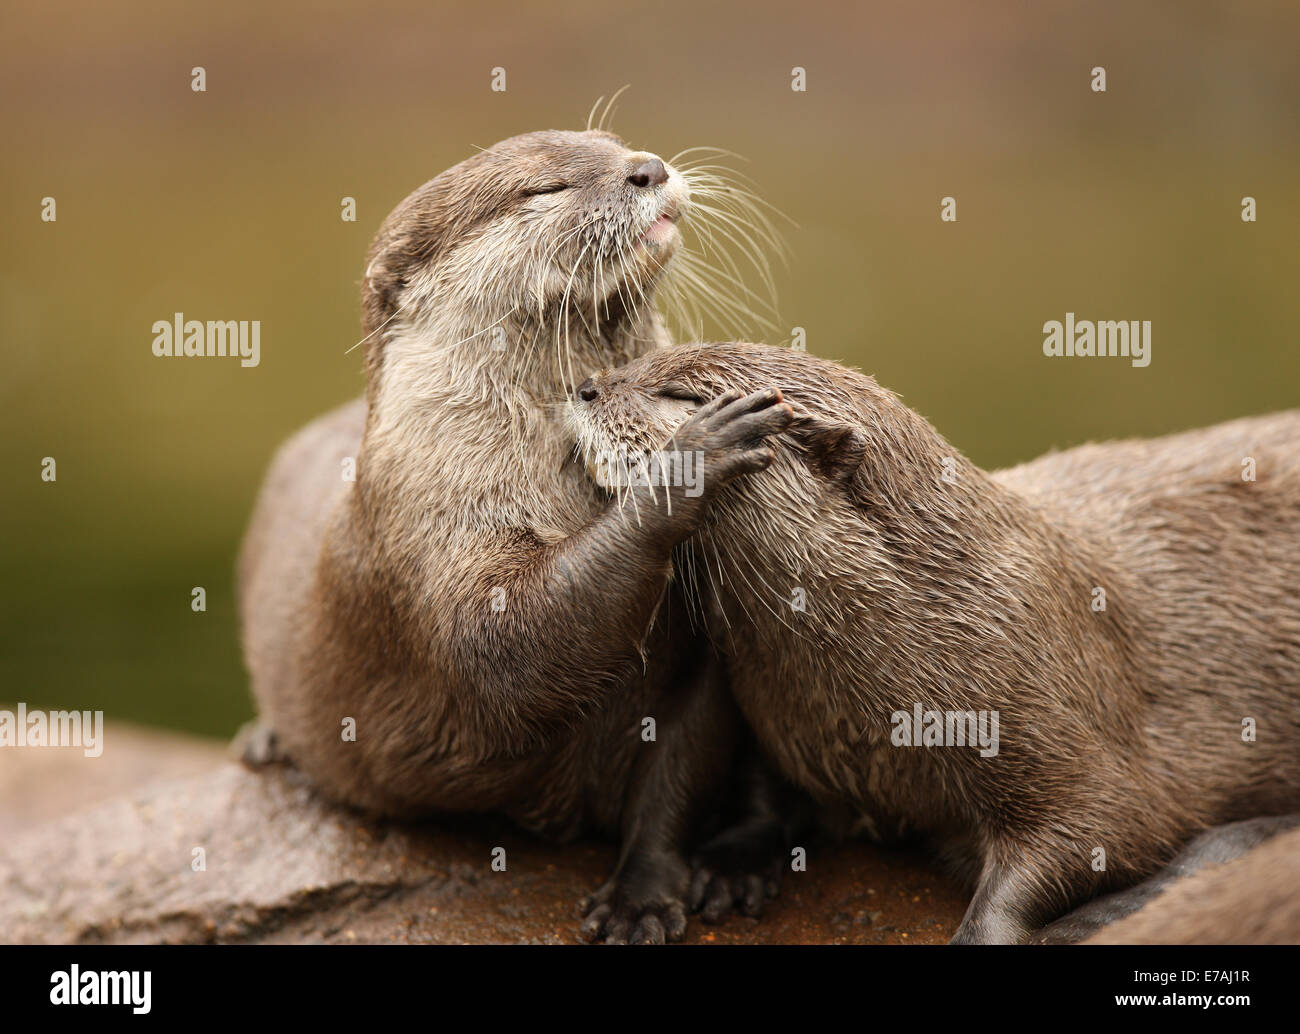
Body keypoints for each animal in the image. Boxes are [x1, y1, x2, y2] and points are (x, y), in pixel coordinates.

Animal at [238, 131, 802, 944]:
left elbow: (677, 772)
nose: (648, 168)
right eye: (545, 188)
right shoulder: (430, 535)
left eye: (613, 144)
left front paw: (643, 894)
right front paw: (686, 457)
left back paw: (742, 865)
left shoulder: (698, 660)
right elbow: (504, 650)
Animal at [570, 341, 1300, 943]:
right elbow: (761, 784)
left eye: (683, 394)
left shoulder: (1066, 713)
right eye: (647, 360)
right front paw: (732, 859)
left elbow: (1102, 826)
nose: (585, 386)